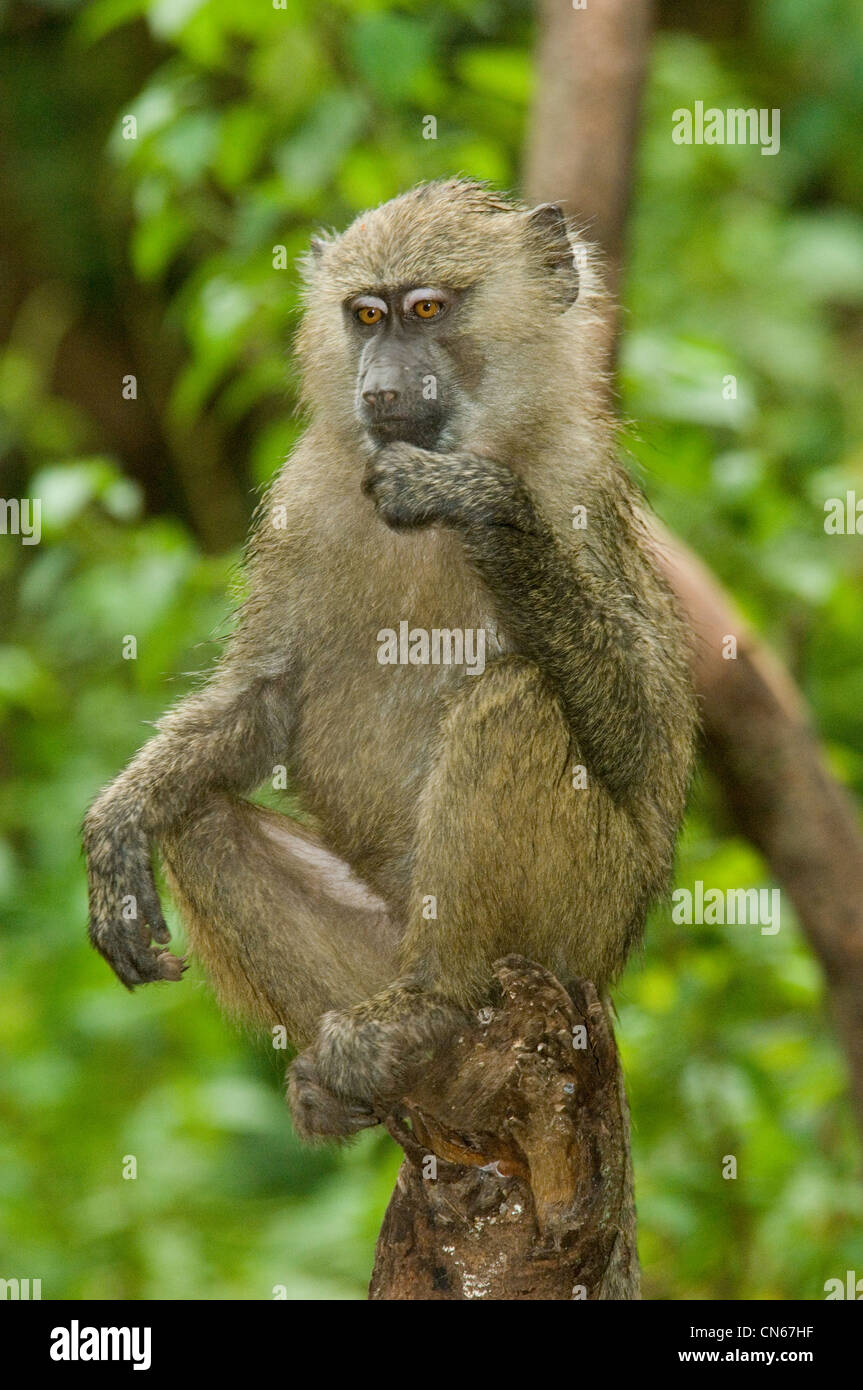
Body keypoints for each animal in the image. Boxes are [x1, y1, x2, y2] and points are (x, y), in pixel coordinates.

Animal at [82, 179, 696, 1142]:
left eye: (428, 309)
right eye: (366, 315)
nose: (379, 386)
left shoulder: (576, 485)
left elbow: (645, 739)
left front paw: (480, 504)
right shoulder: (302, 497)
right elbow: (262, 699)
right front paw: (116, 829)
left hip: (577, 928)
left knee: (519, 697)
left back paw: (433, 1007)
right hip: (372, 948)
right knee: (200, 821)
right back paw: (348, 1078)